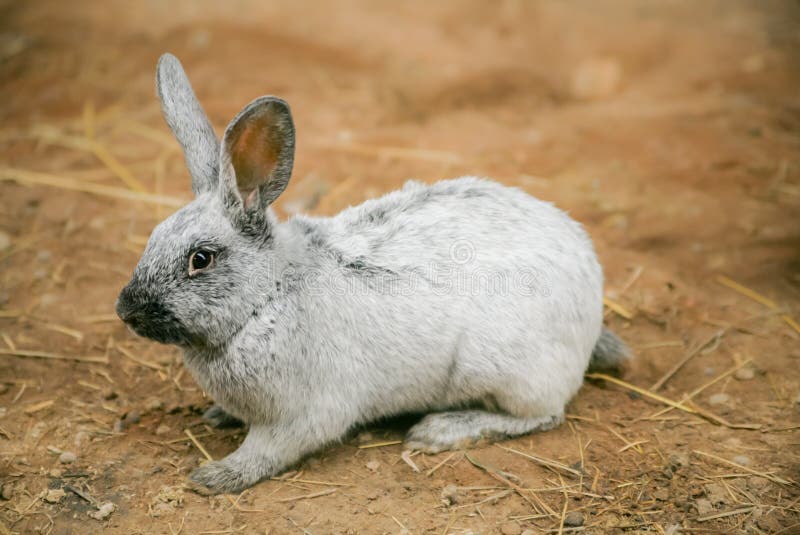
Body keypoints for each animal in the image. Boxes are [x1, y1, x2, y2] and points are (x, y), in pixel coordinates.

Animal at [115, 53, 630, 494]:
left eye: (200, 259)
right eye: (153, 237)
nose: (126, 309)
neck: (267, 297)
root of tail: (591, 291)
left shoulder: (304, 416)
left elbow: (265, 452)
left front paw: (216, 477)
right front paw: (217, 417)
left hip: (508, 371)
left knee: (544, 416)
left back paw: (440, 430)